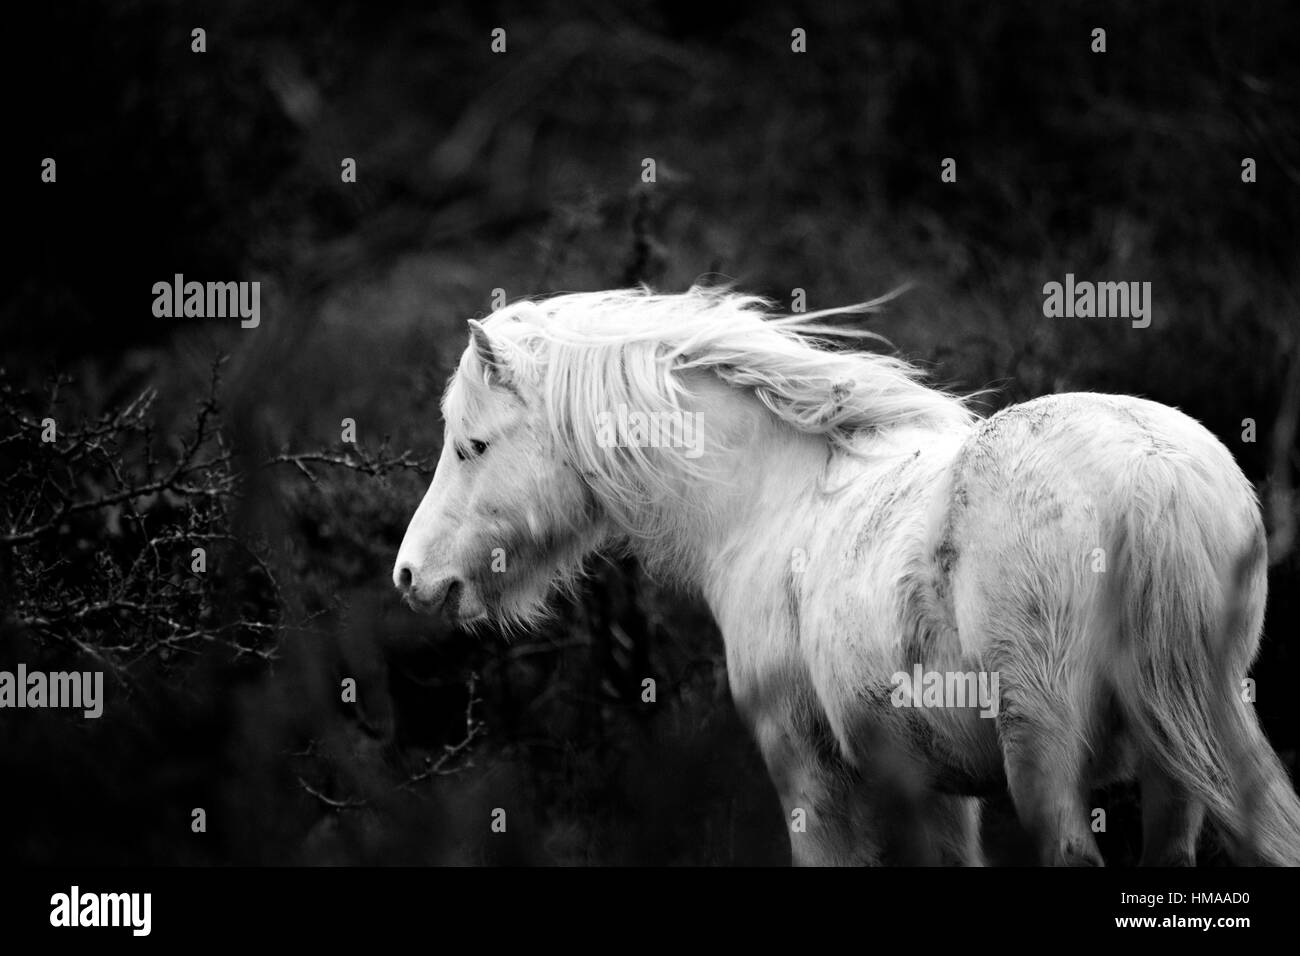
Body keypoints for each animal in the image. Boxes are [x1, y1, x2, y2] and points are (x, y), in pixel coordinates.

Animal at [393, 285, 1300, 866]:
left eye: (471, 445)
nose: (413, 577)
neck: (769, 504)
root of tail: (1151, 472)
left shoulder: (809, 777)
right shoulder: (940, 791)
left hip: (1045, 759)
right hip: (1176, 764)